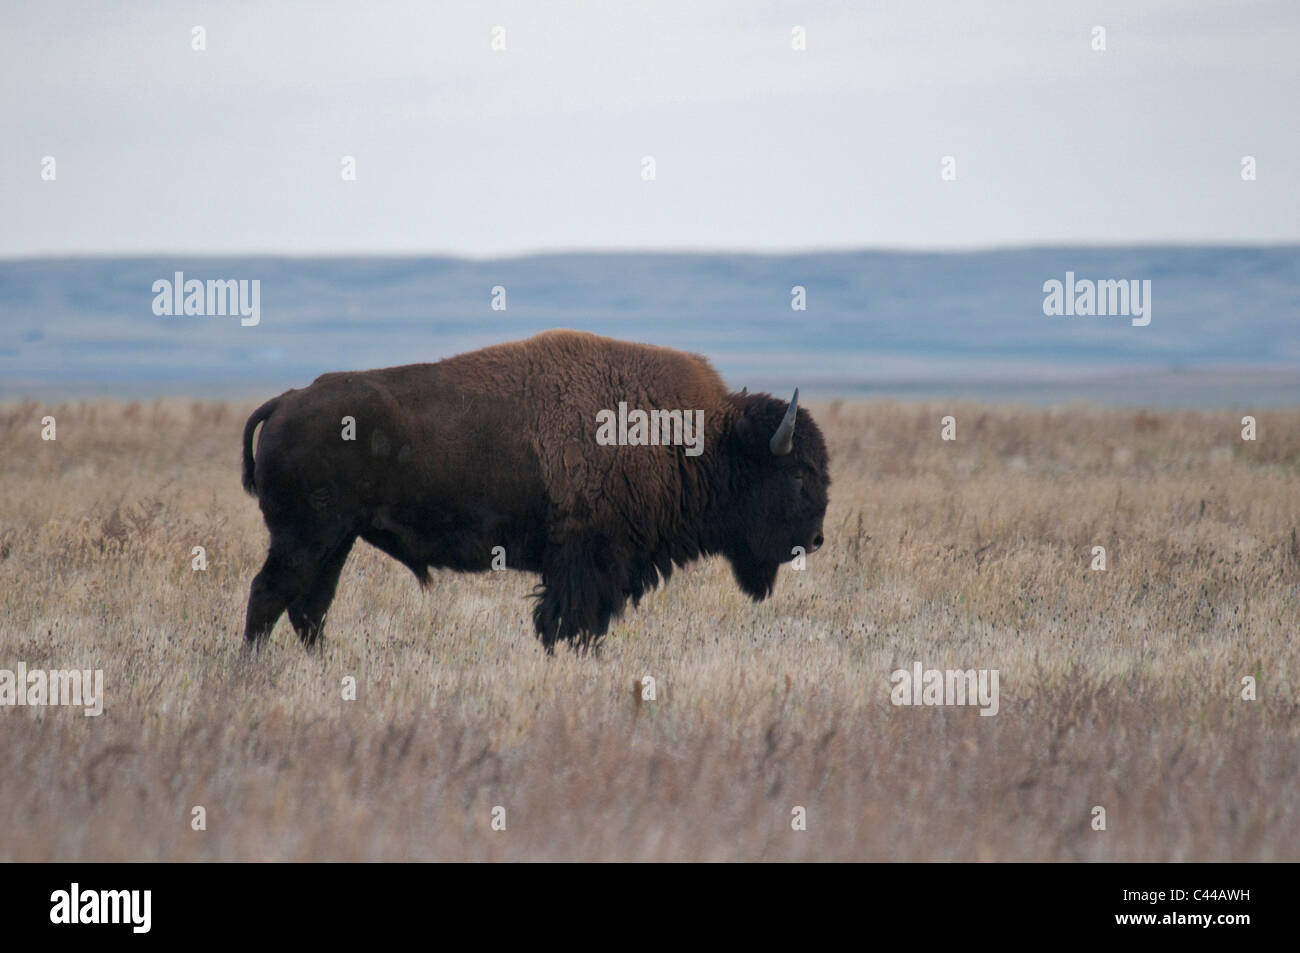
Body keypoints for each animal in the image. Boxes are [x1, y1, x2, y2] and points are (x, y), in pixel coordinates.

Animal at [241, 330, 830, 651]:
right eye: (798, 475)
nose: (816, 540)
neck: (692, 438)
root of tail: (286, 399)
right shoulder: (588, 563)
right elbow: (573, 625)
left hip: (336, 540)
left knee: (310, 608)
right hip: (306, 537)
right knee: (270, 596)